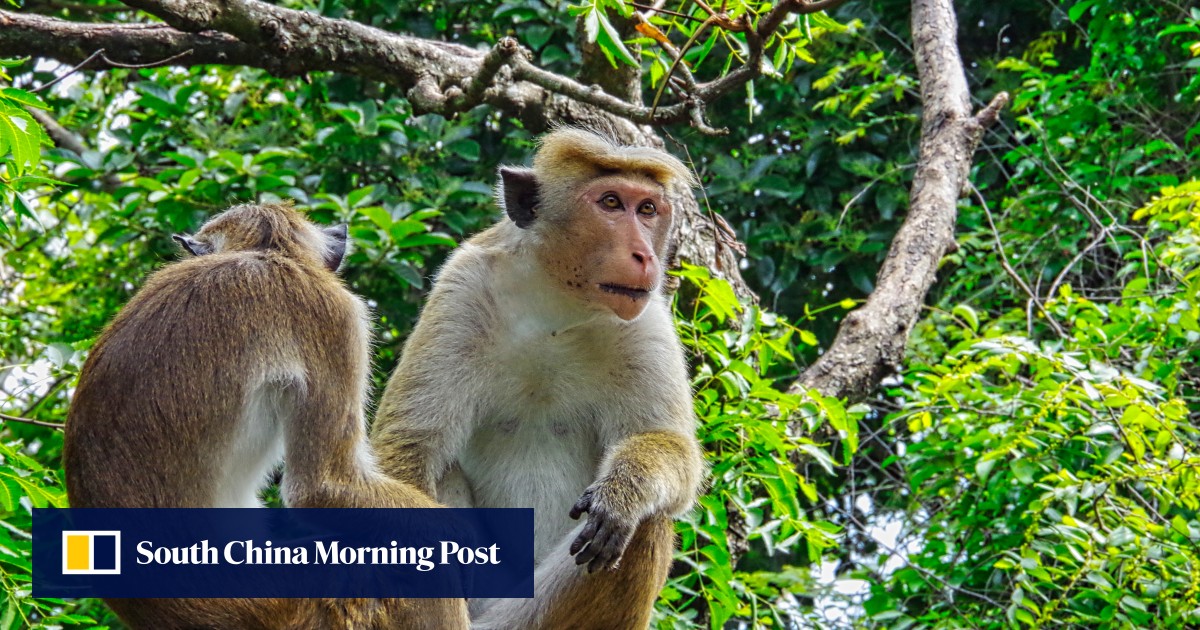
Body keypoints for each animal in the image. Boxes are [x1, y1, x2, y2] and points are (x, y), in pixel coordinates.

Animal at [371, 128, 707, 629]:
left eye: (647, 209)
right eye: (611, 202)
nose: (645, 255)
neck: (557, 307)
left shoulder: (645, 322)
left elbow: (670, 446)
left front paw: (624, 494)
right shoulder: (462, 290)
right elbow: (410, 448)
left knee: (648, 524)